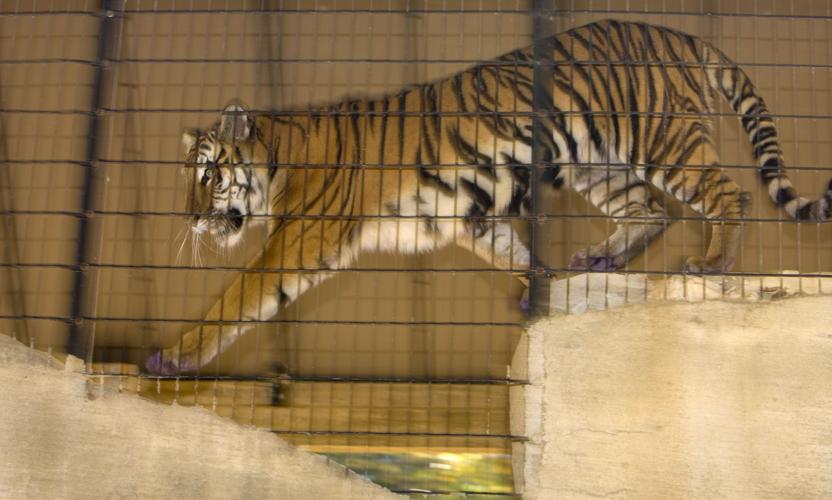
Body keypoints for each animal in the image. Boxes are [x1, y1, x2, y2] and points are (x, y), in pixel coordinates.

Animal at [145, 19, 832, 375]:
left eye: (206, 175)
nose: (191, 219)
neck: (279, 160)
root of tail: (683, 34)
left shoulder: (301, 238)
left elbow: (236, 298)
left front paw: (173, 356)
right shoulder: (470, 219)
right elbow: (515, 254)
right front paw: (539, 290)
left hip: (661, 139)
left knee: (728, 192)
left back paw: (713, 262)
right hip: (598, 164)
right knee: (652, 209)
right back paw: (601, 259)